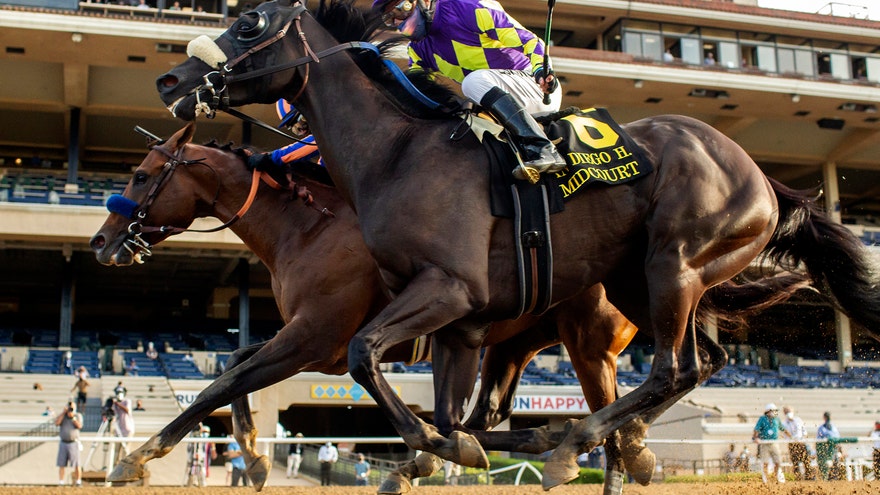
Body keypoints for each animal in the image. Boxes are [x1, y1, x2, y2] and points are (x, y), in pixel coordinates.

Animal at [88, 123, 657, 494]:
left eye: (141, 176)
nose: (101, 241)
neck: (307, 229)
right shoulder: (317, 345)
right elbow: (233, 363)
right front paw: (252, 455)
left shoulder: (315, 340)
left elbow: (220, 385)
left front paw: (138, 457)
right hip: (517, 341)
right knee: (486, 415)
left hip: (588, 345)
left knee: (612, 418)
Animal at [154, 0, 880, 488]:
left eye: (251, 23)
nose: (170, 80)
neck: (397, 153)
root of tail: (761, 173)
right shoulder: (457, 325)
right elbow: (444, 415)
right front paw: (440, 450)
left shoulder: (438, 293)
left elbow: (366, 357)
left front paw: (439, 446)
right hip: (640, 282)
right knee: (702, 361)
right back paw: (609, 441)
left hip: (669, 266)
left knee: (670, 369)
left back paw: (573, 442)